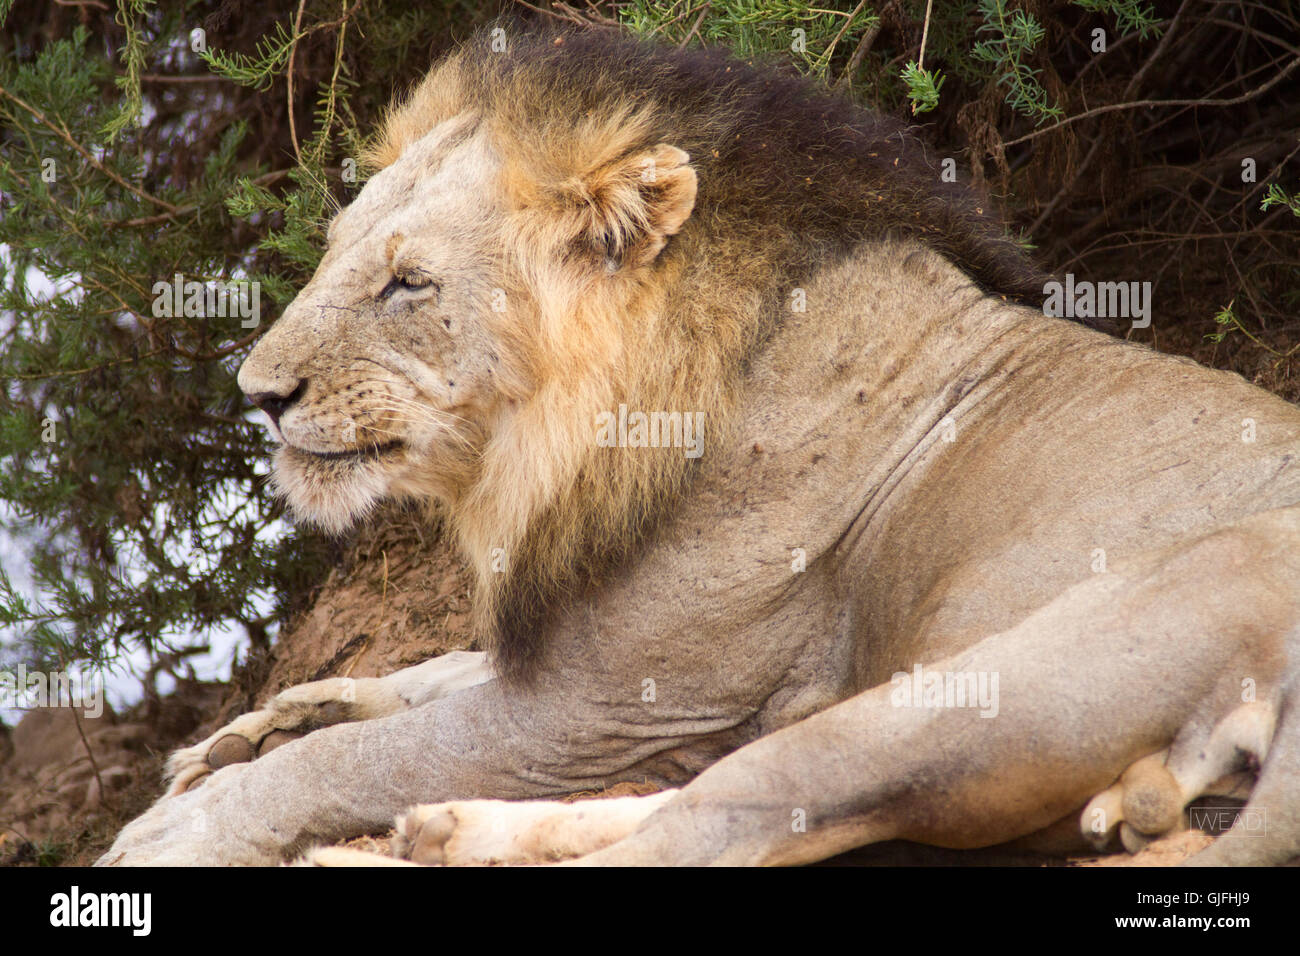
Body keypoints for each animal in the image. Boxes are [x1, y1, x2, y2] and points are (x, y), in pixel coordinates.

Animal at [100, 25, 1300, 867]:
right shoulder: (570, 655)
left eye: (409, 283)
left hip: (994, 686)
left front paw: (184, 823)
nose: (256, 395)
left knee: (710, 828)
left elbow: (354, 756)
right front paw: (252, 727)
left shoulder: (607, 711)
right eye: (338, 250)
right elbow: (425, 675)